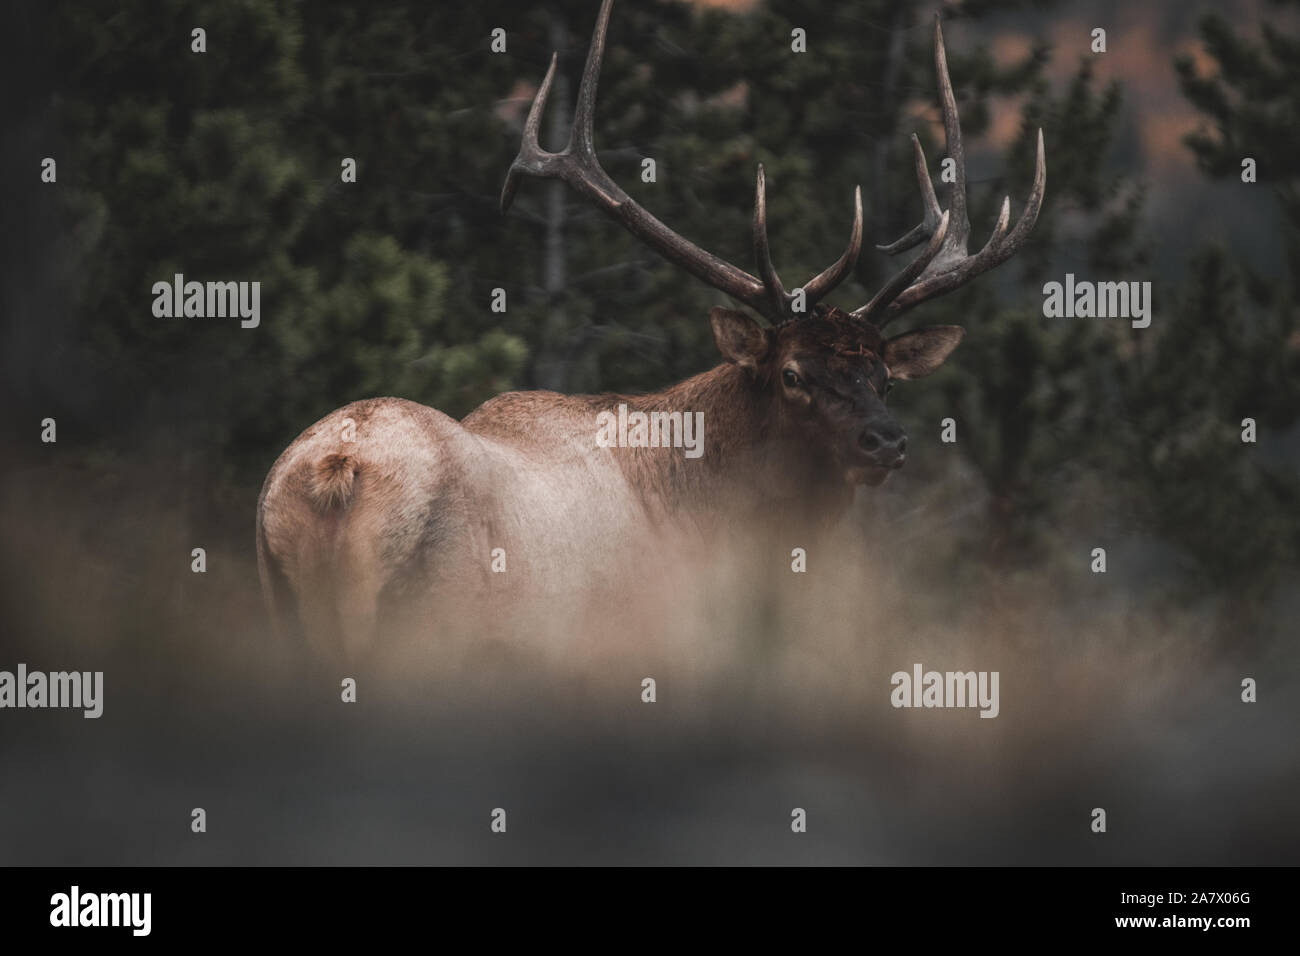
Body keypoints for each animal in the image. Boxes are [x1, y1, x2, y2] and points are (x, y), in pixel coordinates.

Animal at [256, 0, 1045, 660]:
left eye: (884, 377)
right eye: (792, 373)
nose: (887, 441)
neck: (719, 518)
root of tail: (337, 471)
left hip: (283, 608)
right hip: (427, 620)